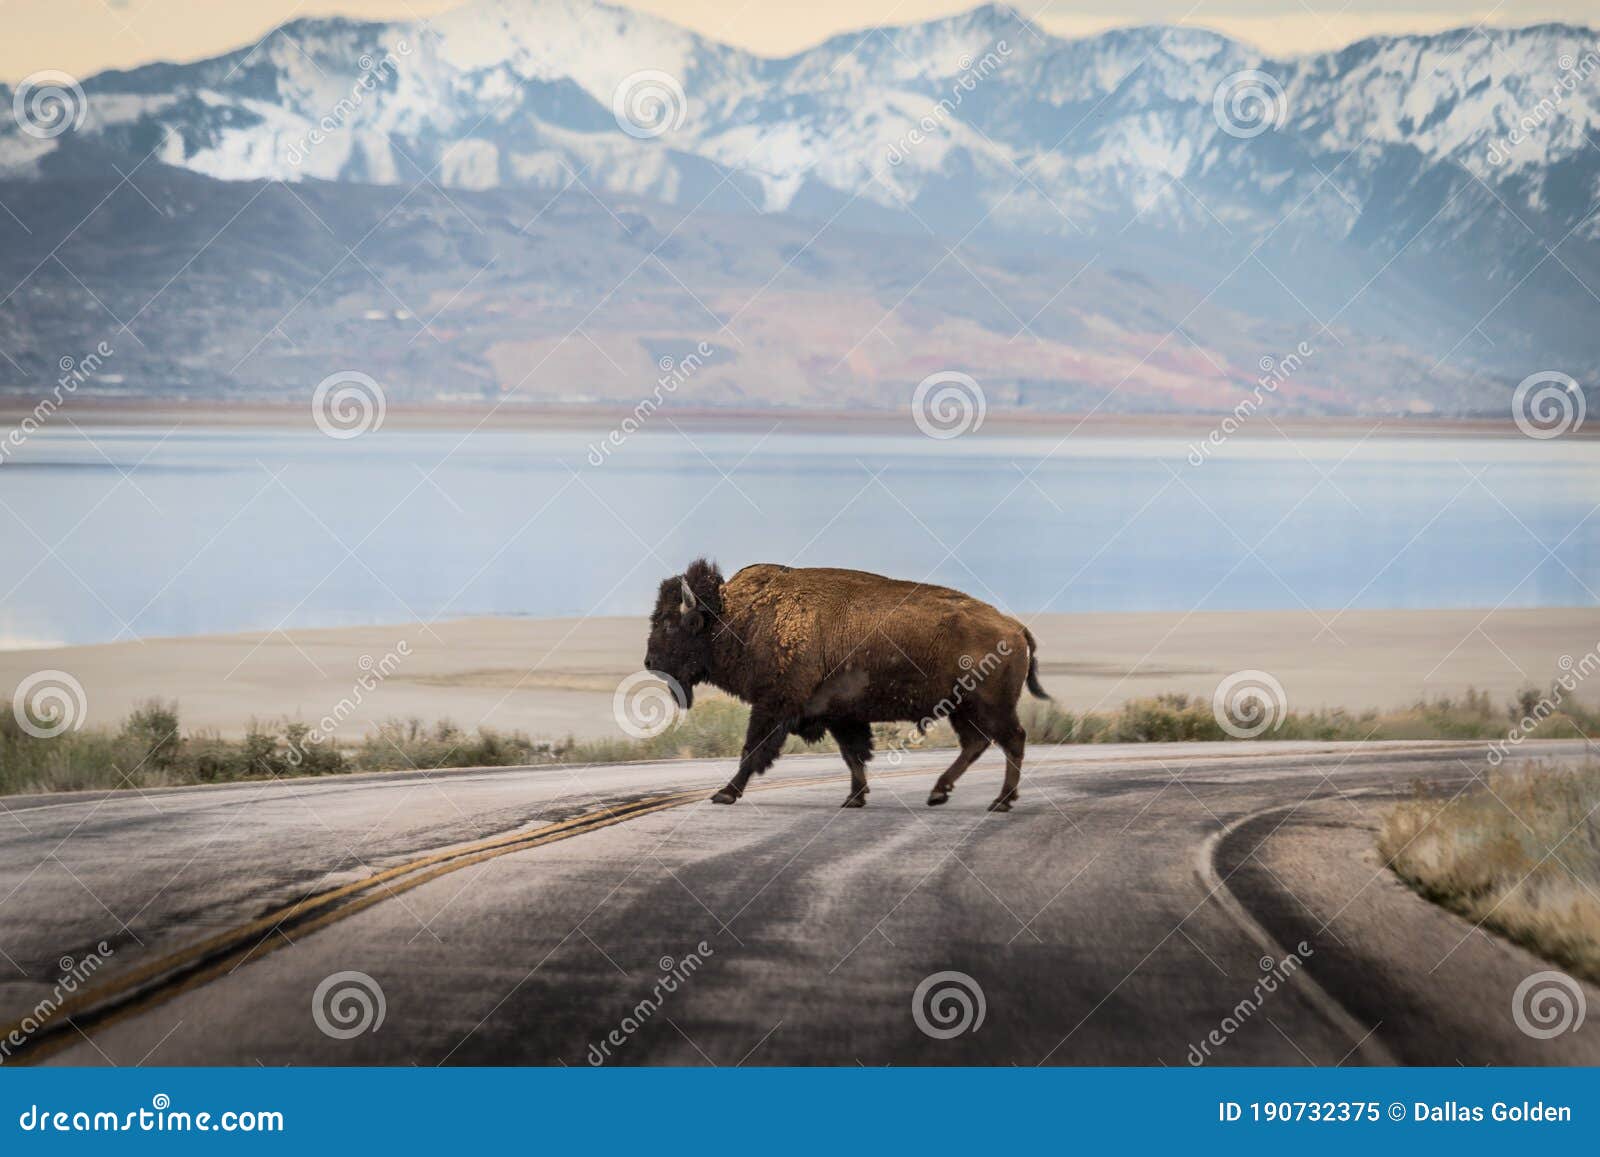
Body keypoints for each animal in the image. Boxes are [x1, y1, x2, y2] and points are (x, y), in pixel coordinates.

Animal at [643, 559, 1049, 811]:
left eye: (669, 623)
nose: (650, 663)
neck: (741, 618)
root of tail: (1015, 627)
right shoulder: (839, 715)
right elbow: (853, 755)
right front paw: (855, 798)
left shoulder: (774, 706)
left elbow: (753, 751)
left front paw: (724, 794)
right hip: (963, 709)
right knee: (976, 744)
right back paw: (939, 793)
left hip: (989, 706)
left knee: (1012, 741)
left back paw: (999, 802)